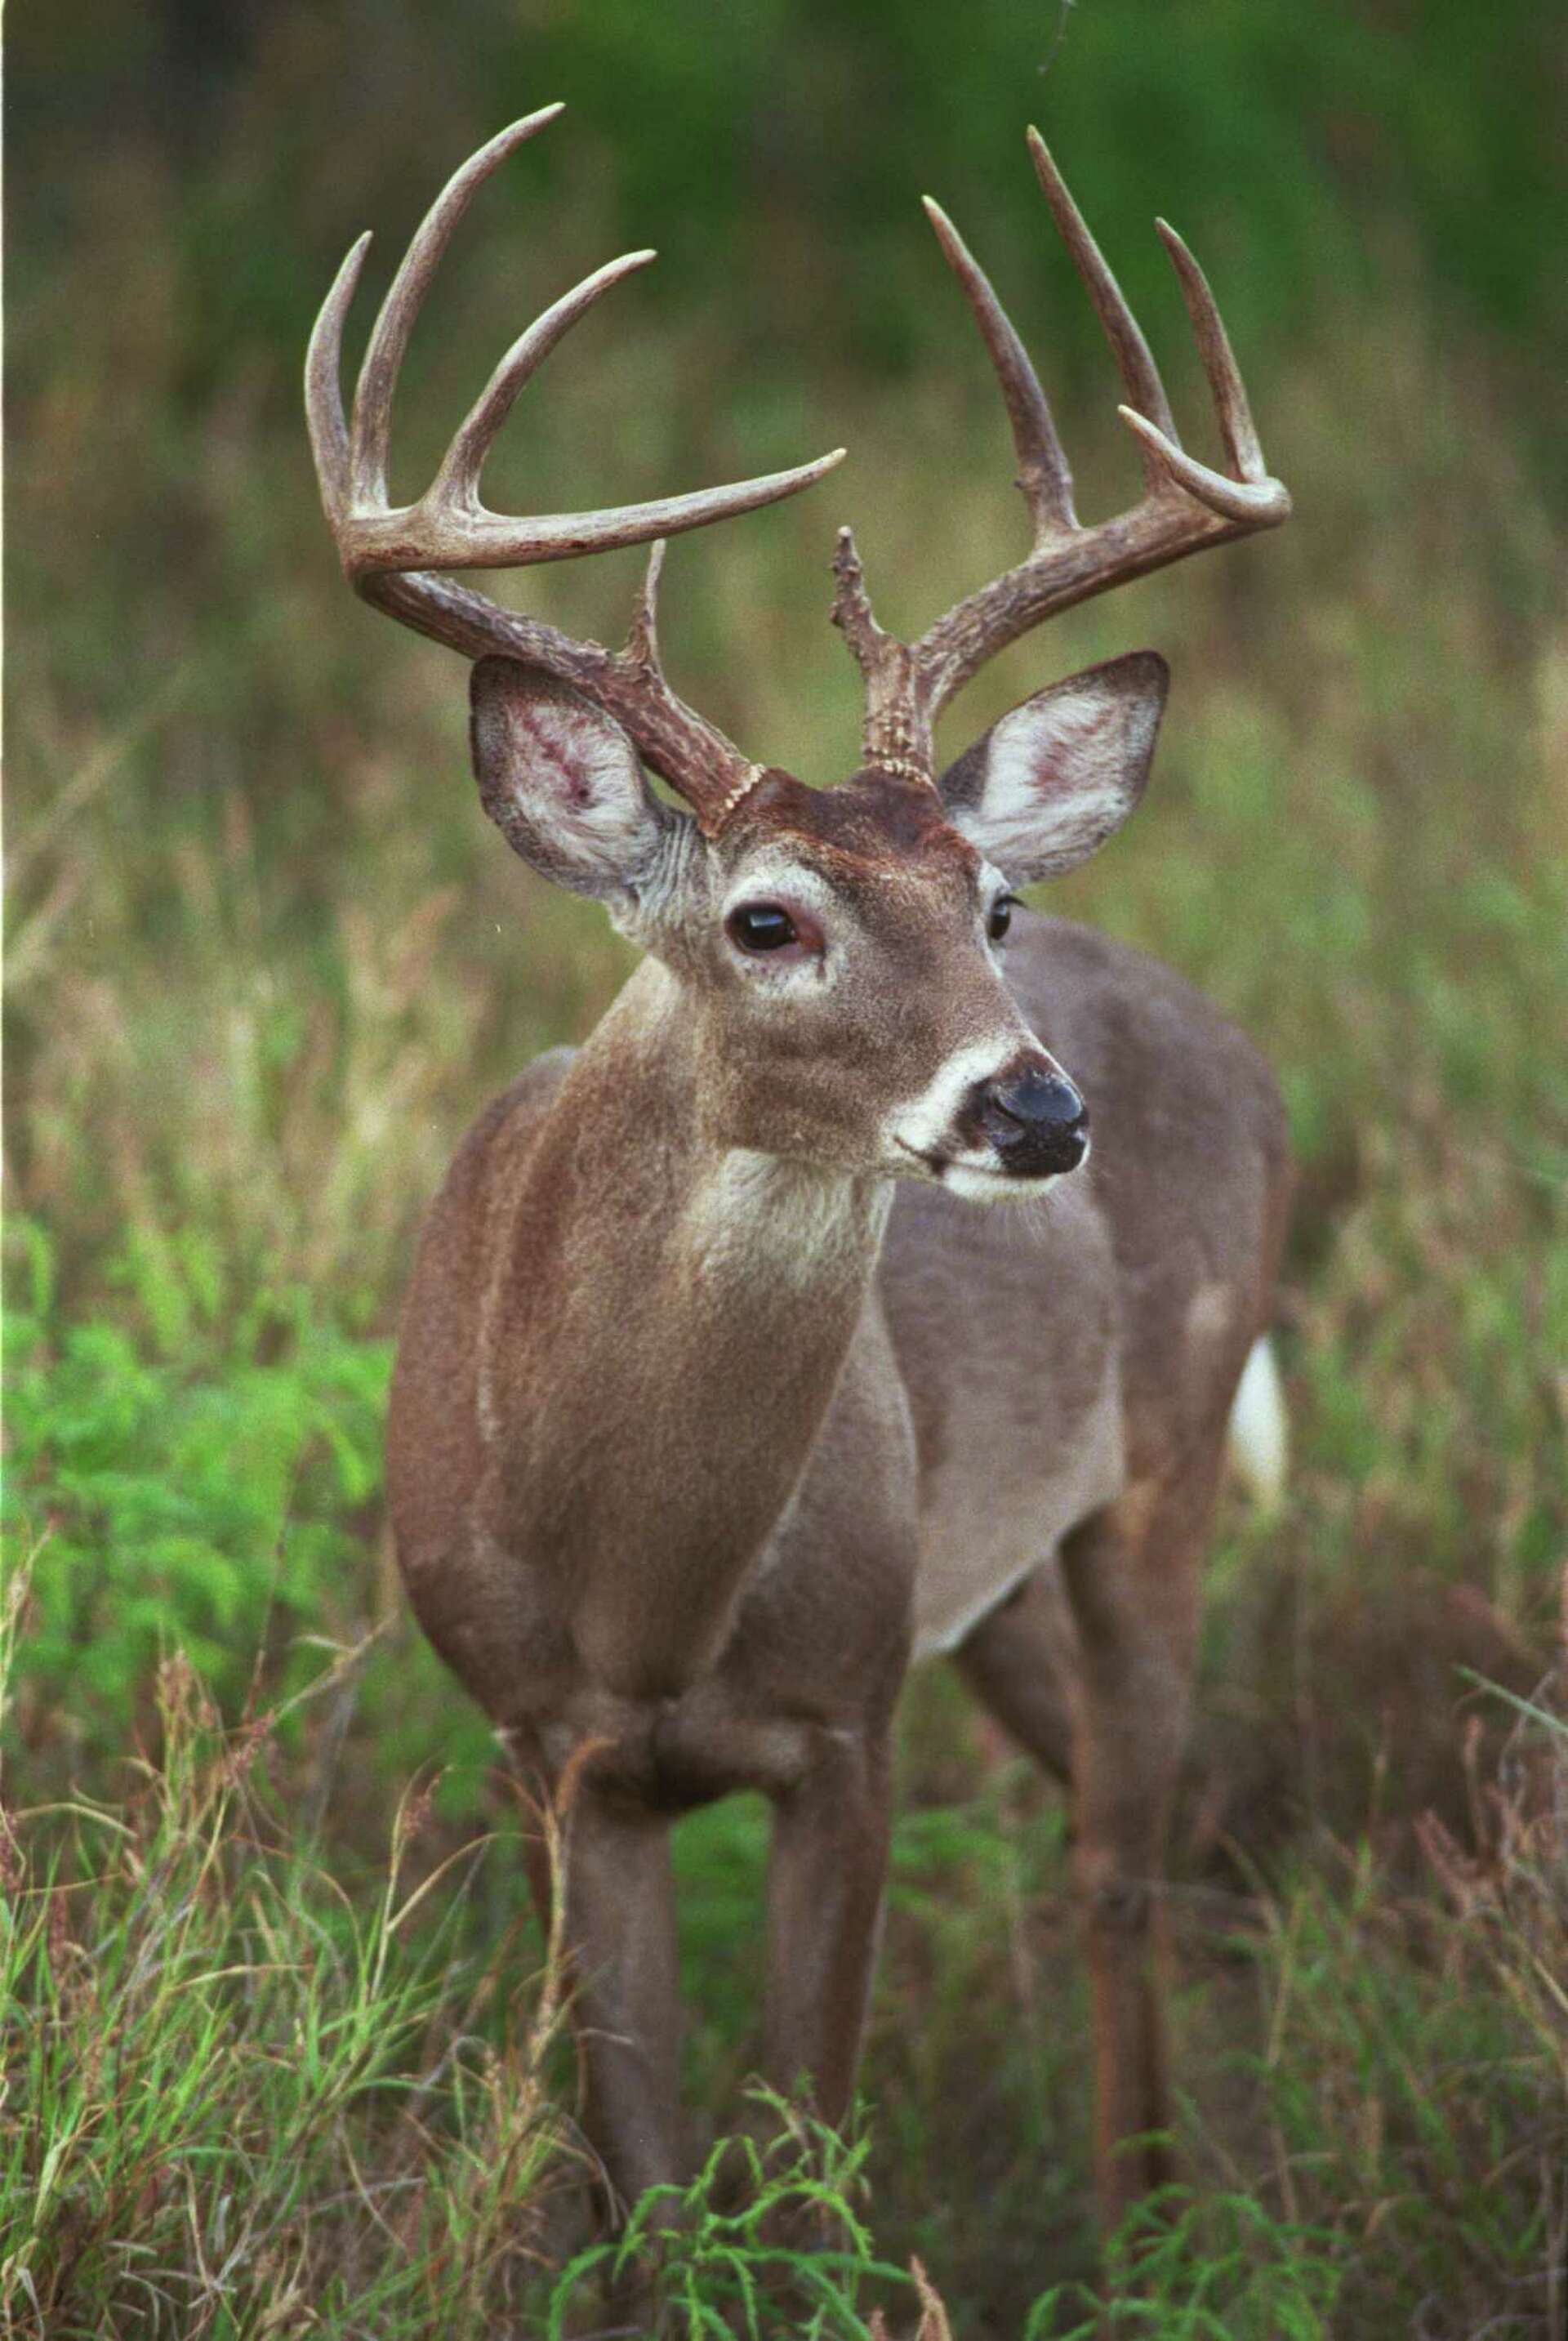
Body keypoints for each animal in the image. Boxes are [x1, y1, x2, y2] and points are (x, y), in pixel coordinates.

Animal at [305, 104, 1293, 2254]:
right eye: (766, 917)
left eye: (990, 900)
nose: (1033, 1109)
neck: (643, 1591)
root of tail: (1233, 1038)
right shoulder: (542, 1748)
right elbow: (643, 2162)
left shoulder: (848, 1718)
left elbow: (806, 2133)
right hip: (990, 1573)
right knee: (1143, 1809)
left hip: (1165, 1455)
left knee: (1124, 1845)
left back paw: (1153, 2229)